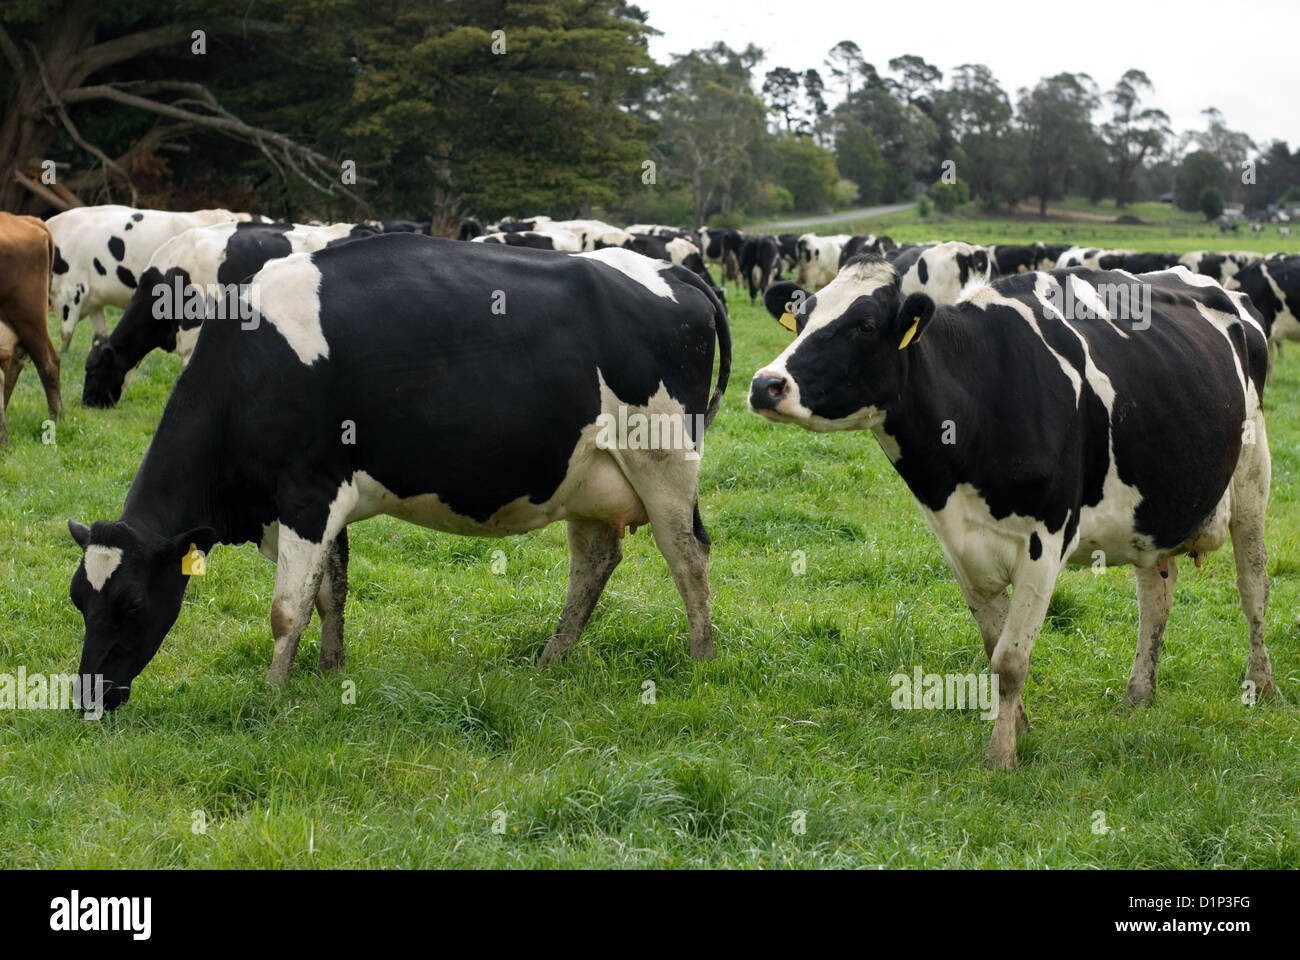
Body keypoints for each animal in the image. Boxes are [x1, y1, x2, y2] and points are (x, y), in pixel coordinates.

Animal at [748, 255, 1274, 769]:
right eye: (802, 317)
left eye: (863, 325)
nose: (764, 383)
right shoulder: (960, 544)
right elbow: (993, 646)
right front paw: (1019, 728)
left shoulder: (1046, 540)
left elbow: (1010, 661)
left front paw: (1001, 755)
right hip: (1151, 509)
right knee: (1155, 598)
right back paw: (1138, 695)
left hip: (1252, 478)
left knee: (1253, 587)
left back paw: (1261, 686)